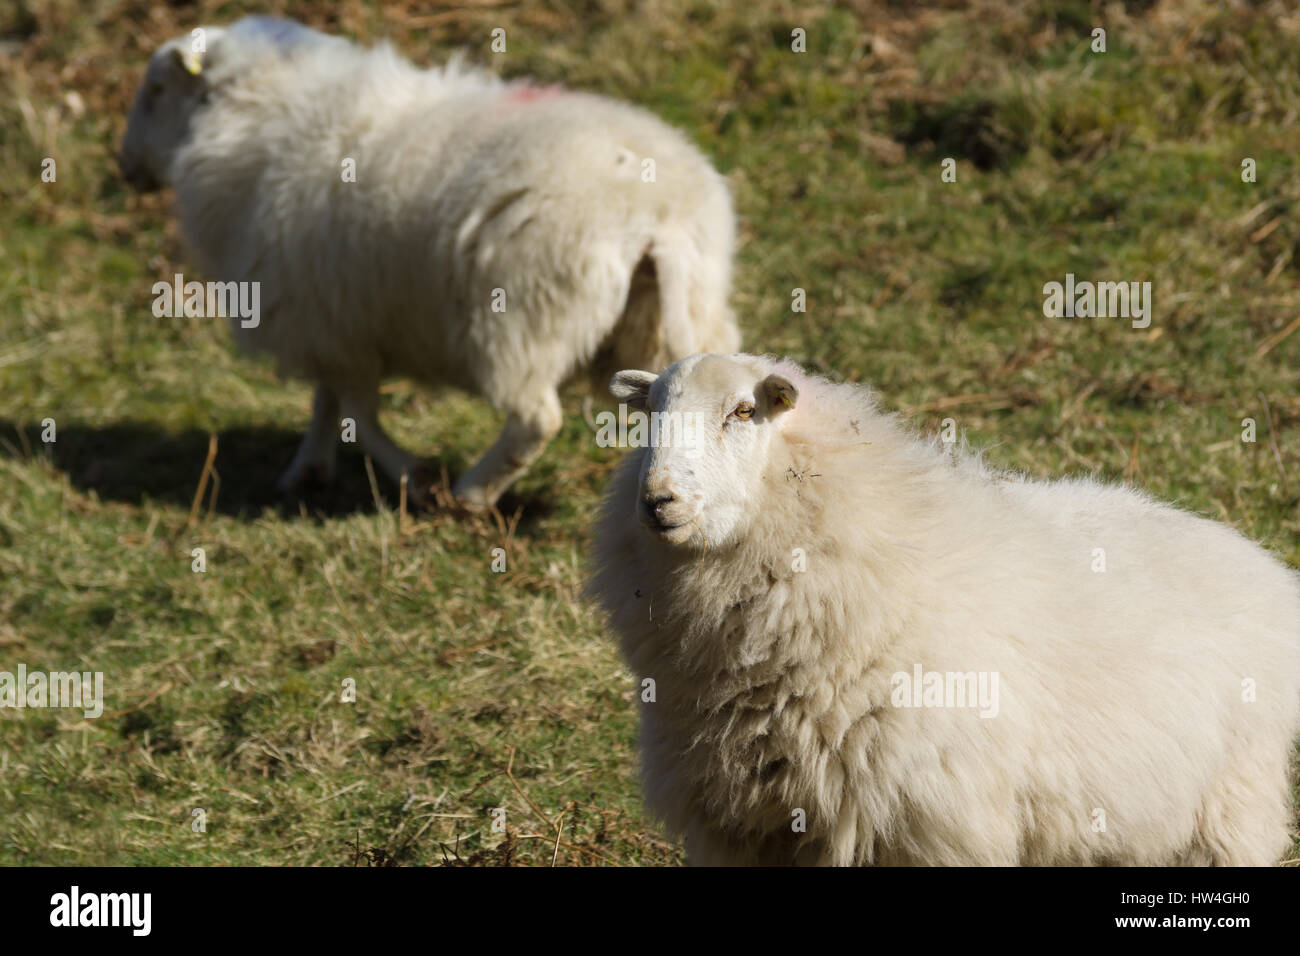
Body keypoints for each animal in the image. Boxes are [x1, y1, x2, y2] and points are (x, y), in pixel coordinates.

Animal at [118, 16, 738, 510]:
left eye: (156, 89)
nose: (124, 167)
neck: (253, 113)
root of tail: (659, 214)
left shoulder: (328, 321)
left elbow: (357, 414)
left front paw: (414, 478)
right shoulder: (330, 322)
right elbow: (327, 403)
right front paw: (308, 471)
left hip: (520, 319)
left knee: (534, 421)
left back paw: (469, 496)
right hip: (669, 317)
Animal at [587, 352, 1300, 865]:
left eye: (741, 411)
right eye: (650, 414)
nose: (658, 500)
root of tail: (1258, 566)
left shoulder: (930, 824)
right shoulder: (747, 830)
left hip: (1229, 814)